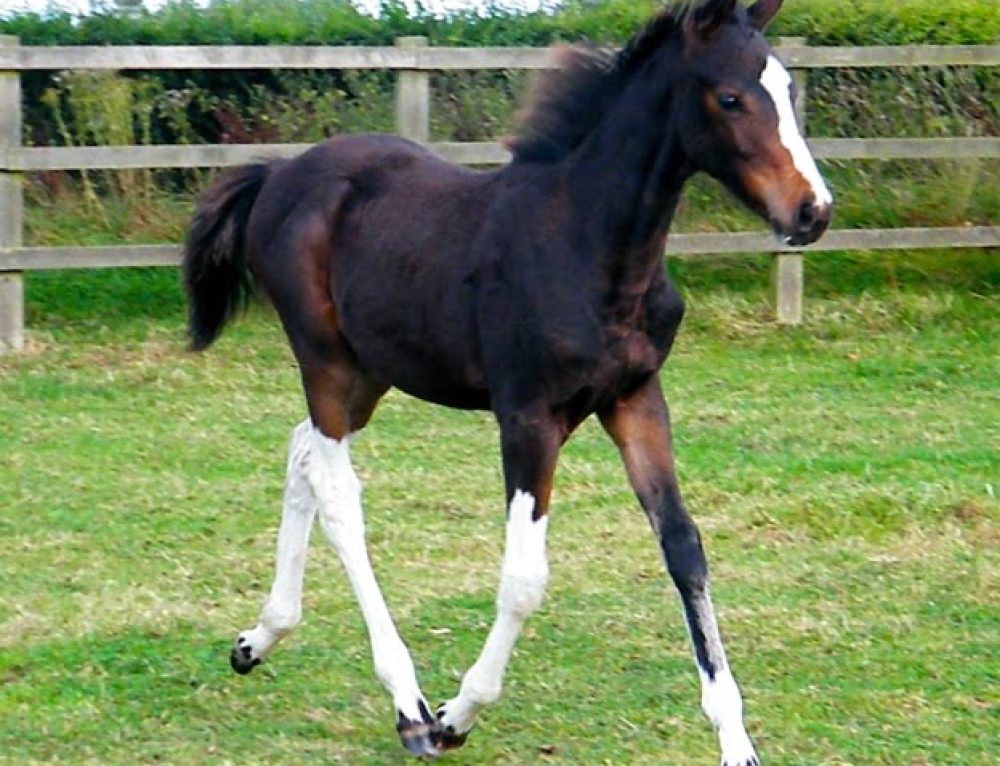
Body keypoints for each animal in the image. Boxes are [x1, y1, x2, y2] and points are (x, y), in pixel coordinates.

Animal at [182, 0, 831, 762]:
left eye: (787, 89)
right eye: (730, 97)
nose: (812, 211)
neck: (588, 247)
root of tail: (280, 173)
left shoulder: (636, 399)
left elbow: (683, 547)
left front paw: (735, 739)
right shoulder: (527, 418)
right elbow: (524, 578)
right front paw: (456, 715)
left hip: (371, 370)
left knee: (302, 453)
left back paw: (259, 638)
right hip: (324, 359)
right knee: (339, 495)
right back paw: (407, 705)